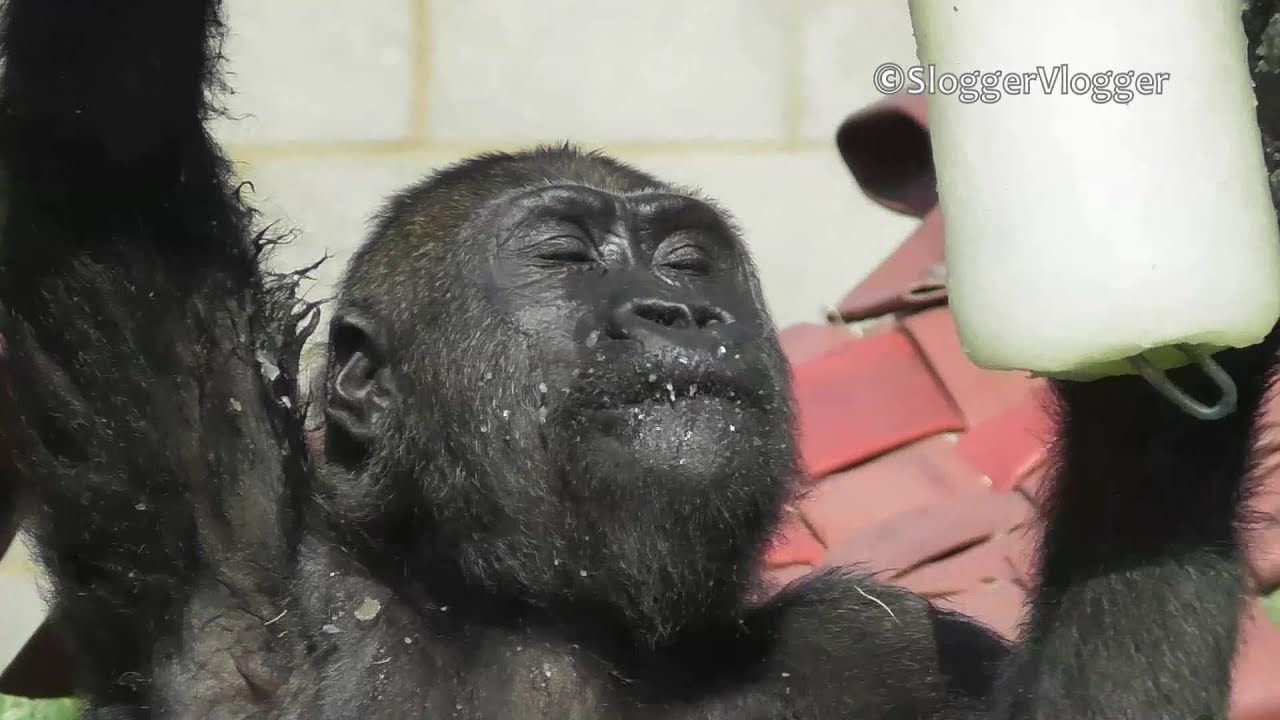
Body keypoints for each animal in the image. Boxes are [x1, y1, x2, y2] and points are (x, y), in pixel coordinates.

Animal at [0, 0, 1275, 718]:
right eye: (564, 257)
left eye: (690, 262)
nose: (674, 310)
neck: (555, 613)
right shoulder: (236, 554)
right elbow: (107, 146)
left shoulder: (876, 649)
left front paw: (1149, 381)